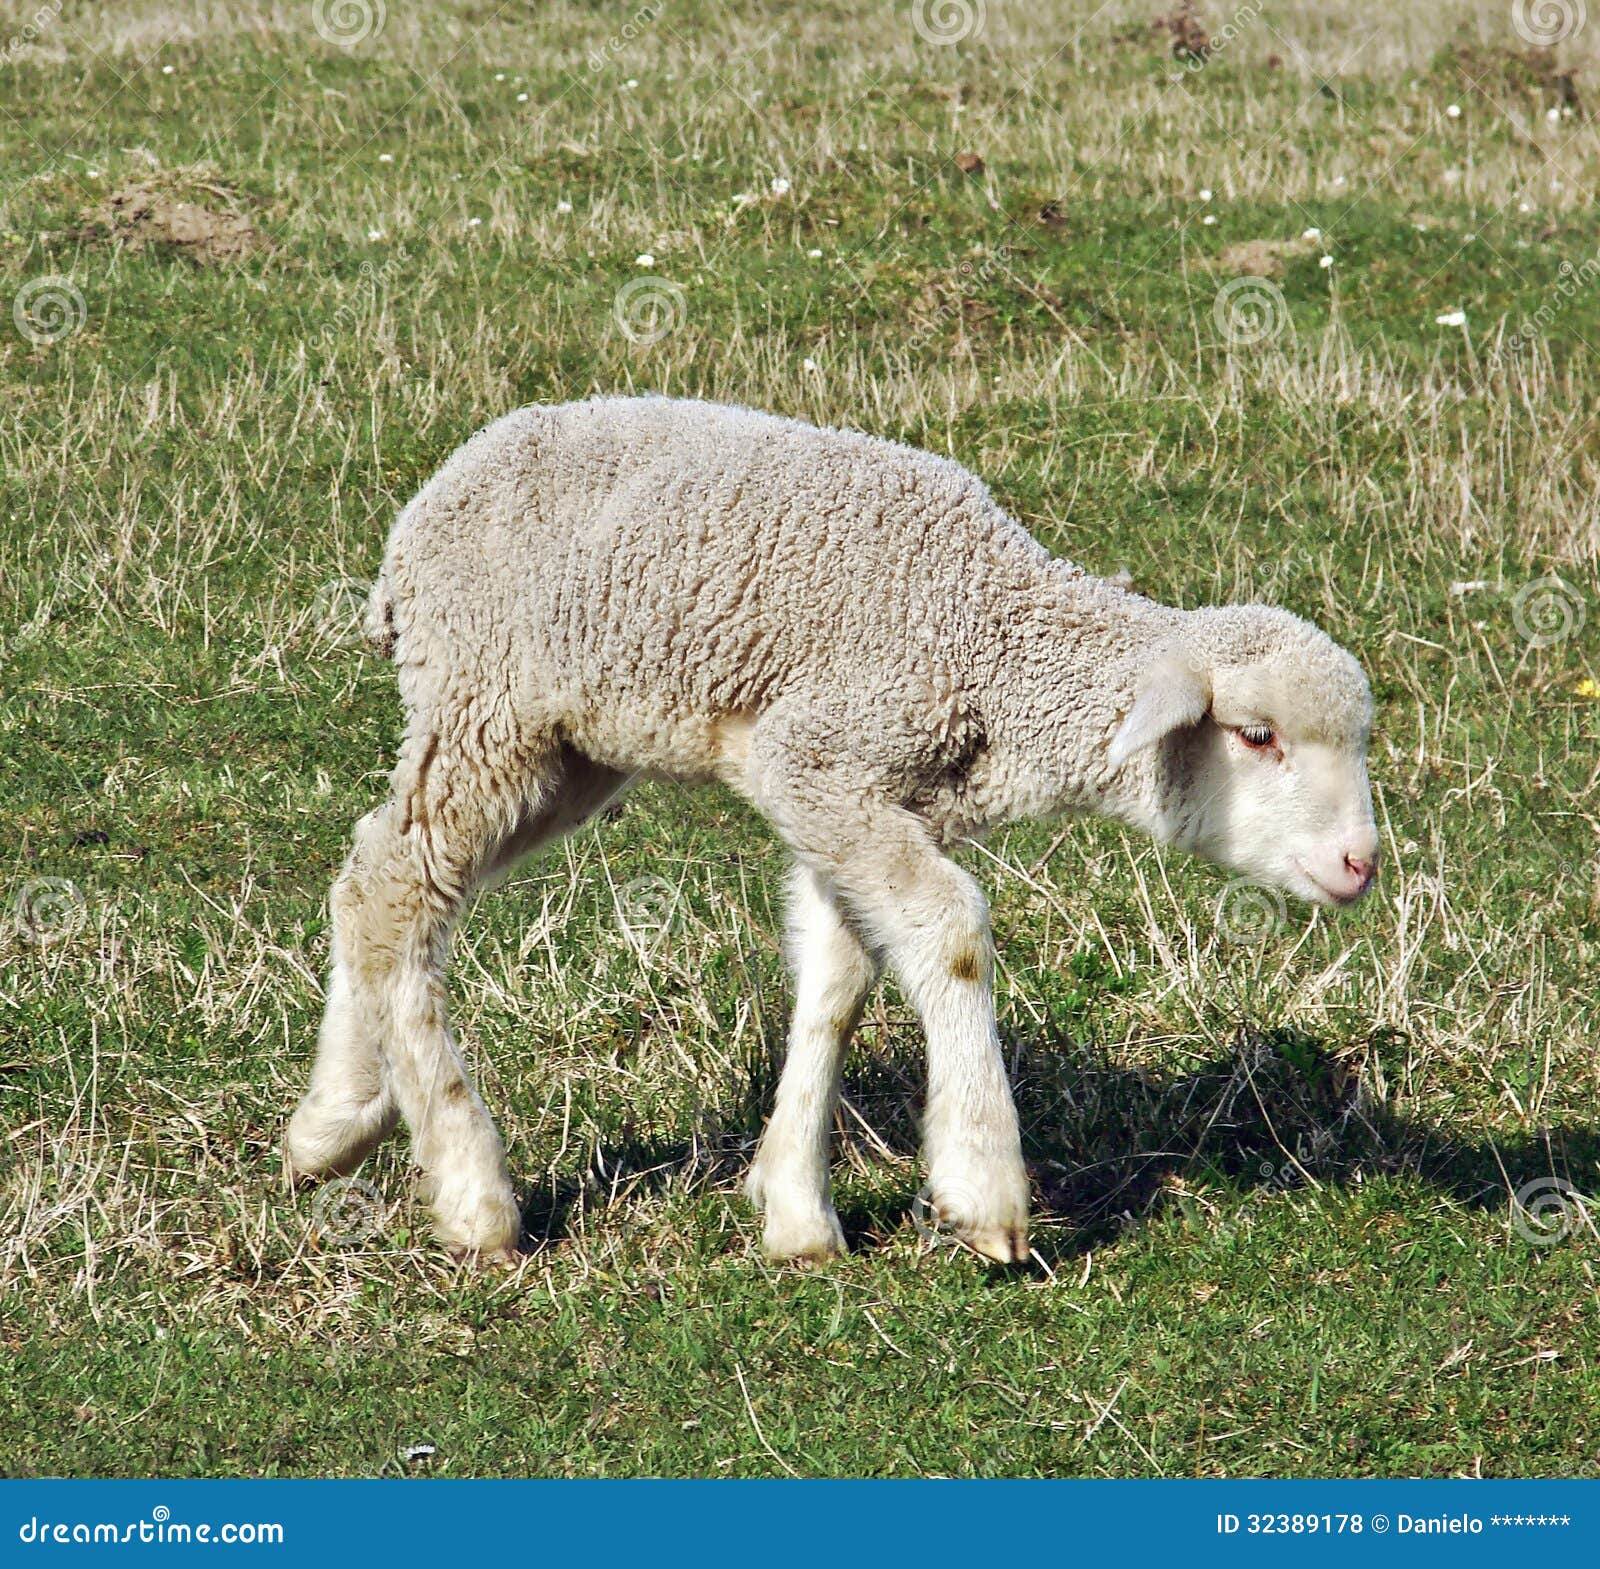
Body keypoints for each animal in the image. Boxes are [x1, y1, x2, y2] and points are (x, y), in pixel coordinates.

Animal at [286, 396, 1379, 1266]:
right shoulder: (816, 758)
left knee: (373, 872)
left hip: (567, 748)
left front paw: (795, 1210)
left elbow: (837, 981)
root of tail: (424, 515)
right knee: (395, 888)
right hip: (488, 703)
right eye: (1257, 736)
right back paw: (474, 1197)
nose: (1360, 861)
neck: (992, 641)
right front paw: (982, 1184)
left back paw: (334, 1122)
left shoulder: (865, 802)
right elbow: (951, 931)